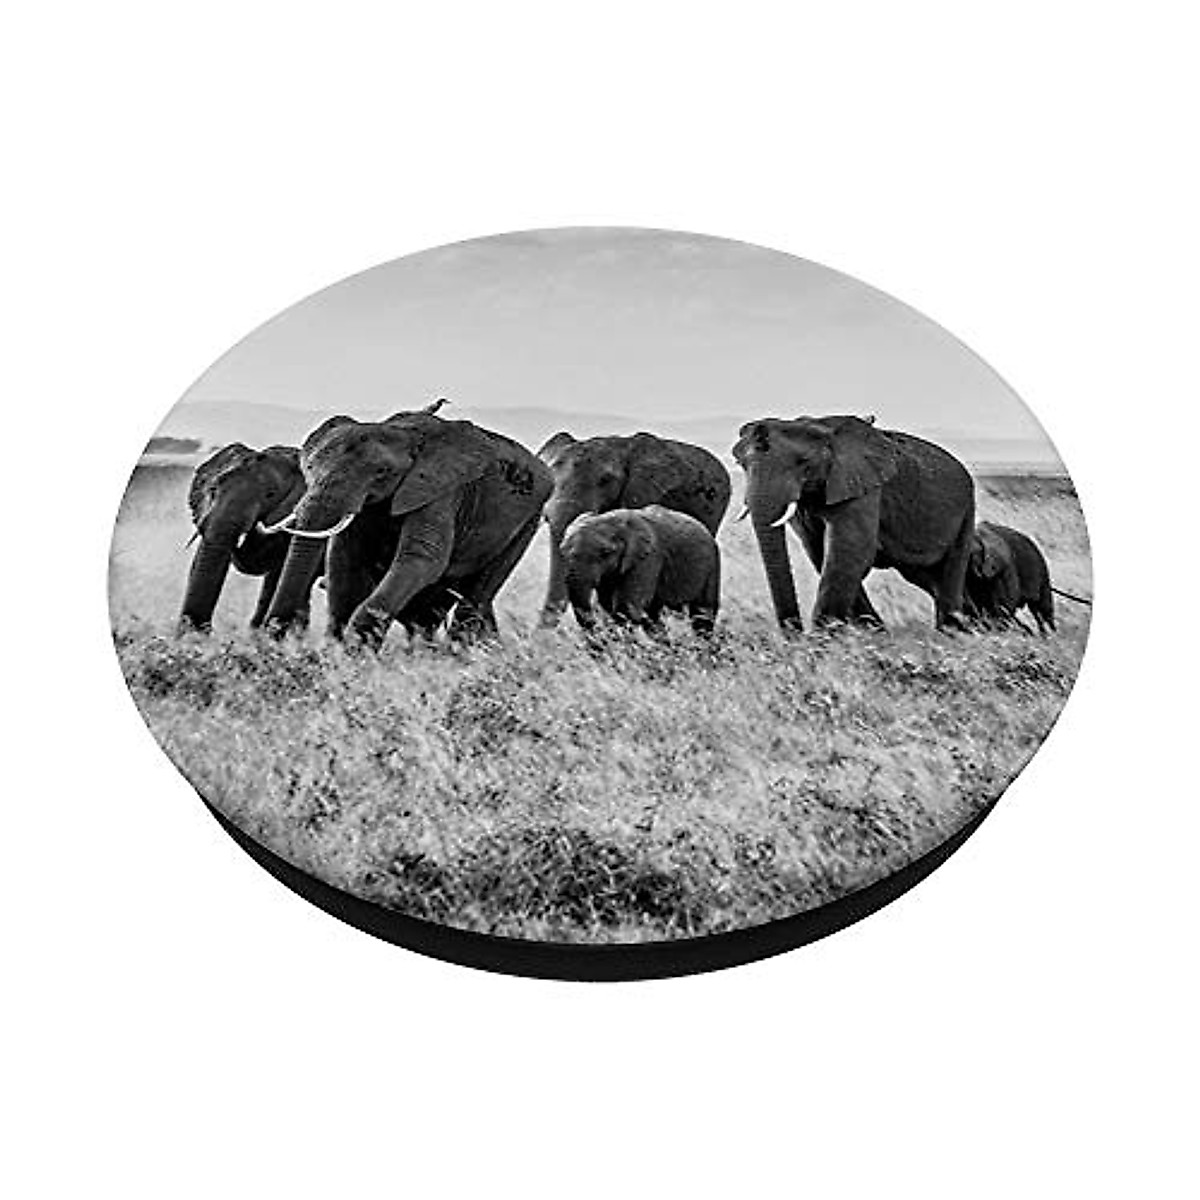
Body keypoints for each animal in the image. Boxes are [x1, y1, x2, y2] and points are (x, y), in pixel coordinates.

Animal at [263, 410, 553, 649]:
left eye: (382, 471)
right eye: (309, 467)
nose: (272, 636)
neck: (403, 433)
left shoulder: (440, 491)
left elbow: (422, 559)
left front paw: (357, 650)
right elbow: (344, 561)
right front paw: (336, 653)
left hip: (529, 520)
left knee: (477, 595)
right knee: (426, 616)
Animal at [561, 505, 721, 635]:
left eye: (605, 553)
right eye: (562, 550)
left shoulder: (648, 558)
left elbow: (626, 609)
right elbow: (607, 605)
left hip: (712, 564)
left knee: (703, 614)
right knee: (654, 616)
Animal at [732, 415, 975, 631]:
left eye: (804, 463)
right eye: (741, 463)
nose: (796, 635)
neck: (818, 427)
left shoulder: (862, 486)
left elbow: (850, 550)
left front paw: (825, 637)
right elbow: (819, 552)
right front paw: (871, 631)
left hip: (966, 511)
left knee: (949, 572)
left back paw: (953, 631)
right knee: (926, 577)